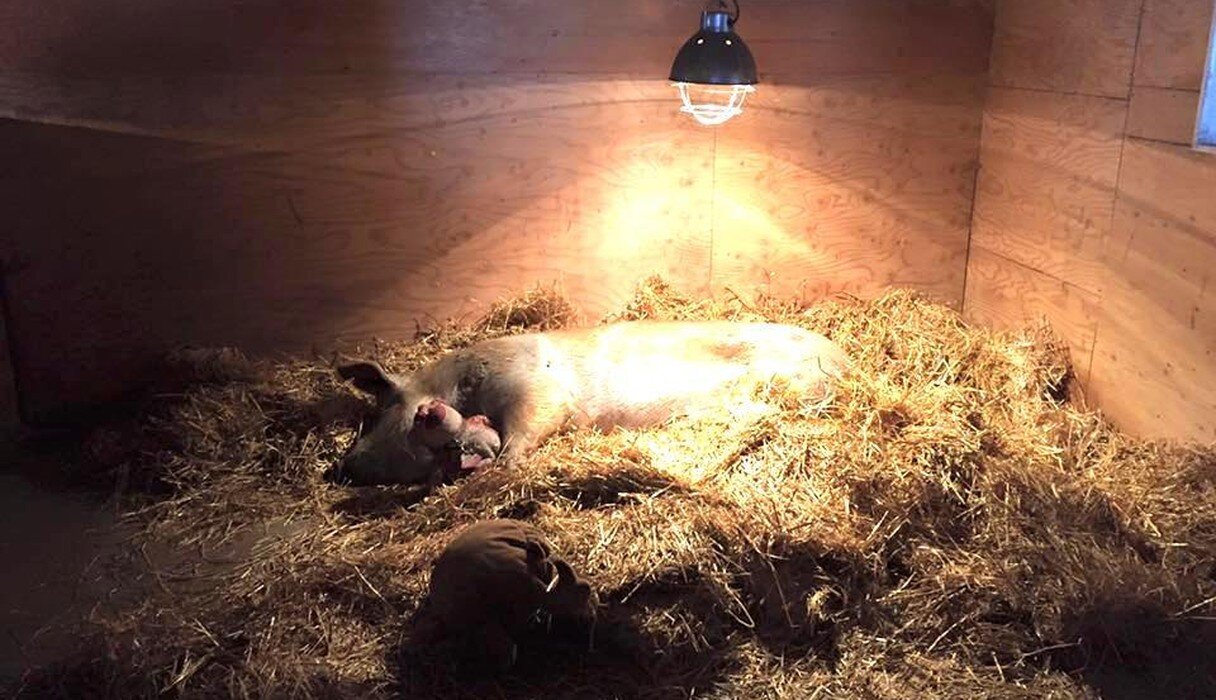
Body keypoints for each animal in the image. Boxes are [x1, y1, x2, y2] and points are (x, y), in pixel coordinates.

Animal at [335, 320, 847, 486]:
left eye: (386, 408)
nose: (344, 465)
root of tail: (846, 361)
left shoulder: (534, 388)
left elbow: (529, 425)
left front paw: (502, 468)